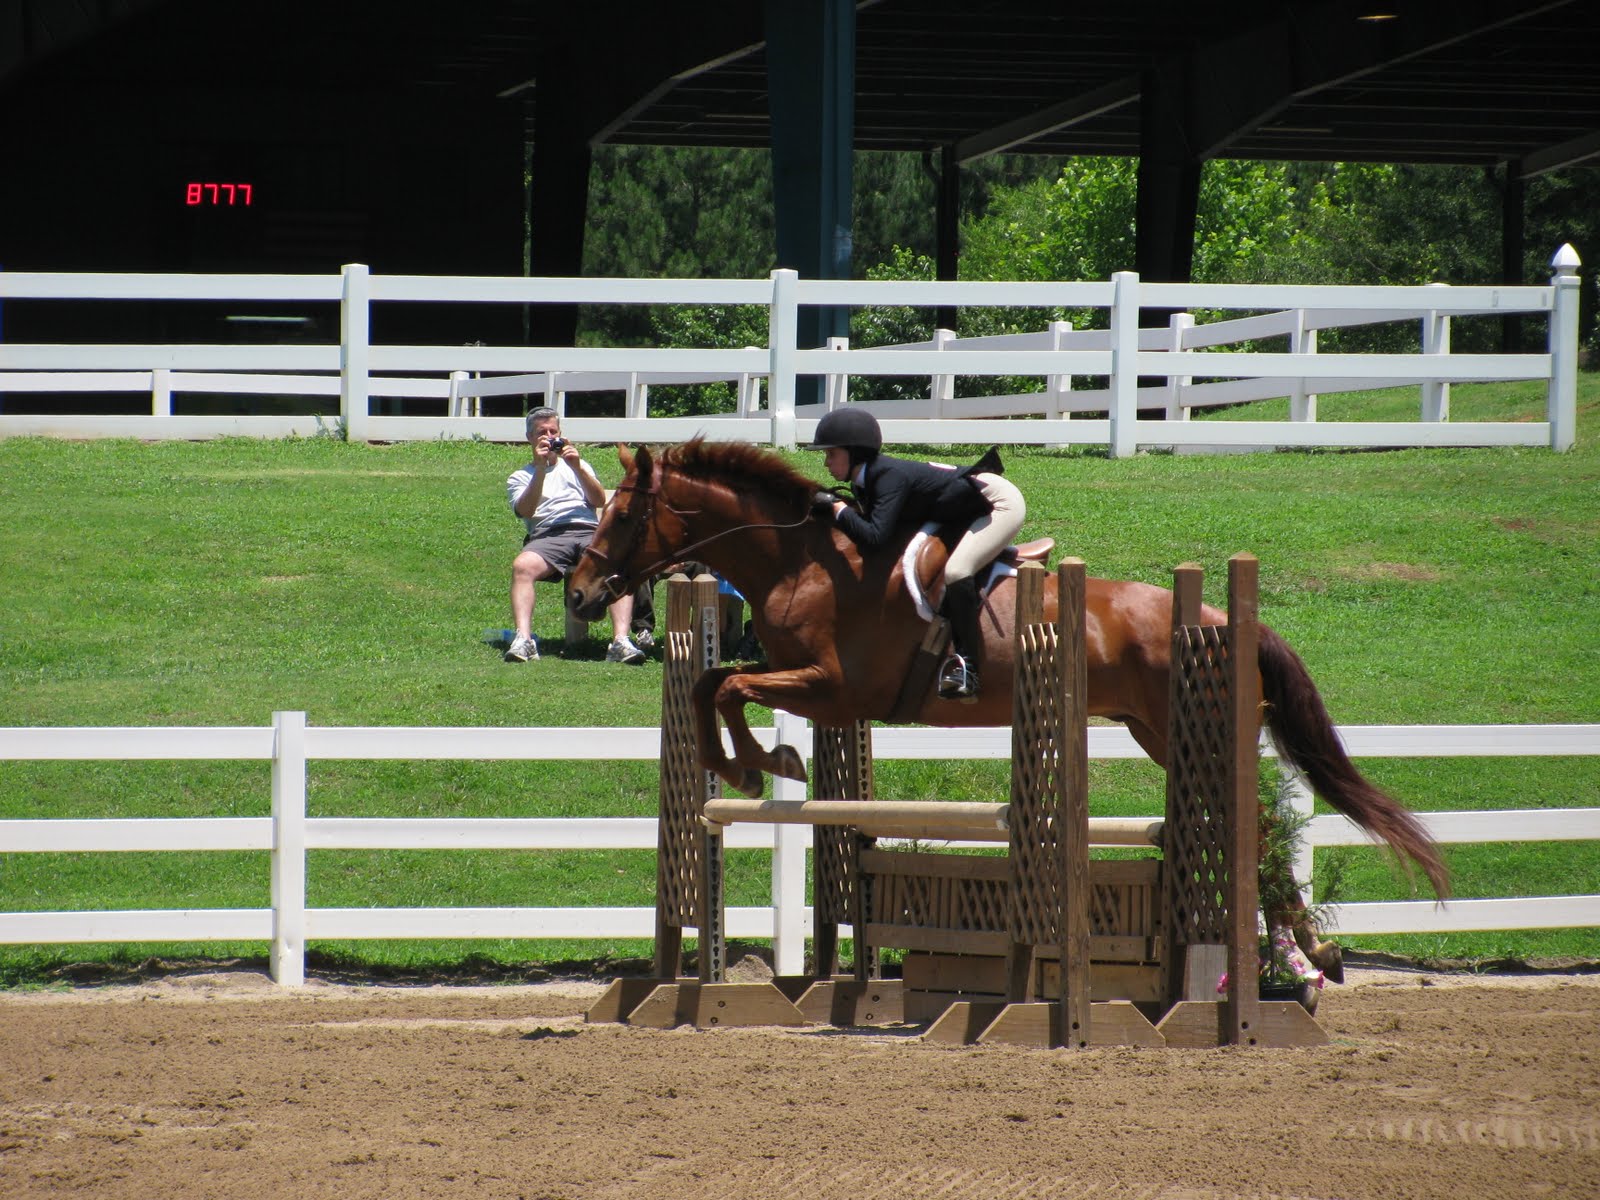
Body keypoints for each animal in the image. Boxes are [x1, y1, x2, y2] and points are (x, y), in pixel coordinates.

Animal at [567, 438, 1451, 978]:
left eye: (622, 514)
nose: (577, 593)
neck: (802, 560)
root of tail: (1217, 616)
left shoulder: (835, 688)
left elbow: (727, 688)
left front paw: (757, 766)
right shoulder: (808, 683)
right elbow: (708, 685)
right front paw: (749, 768)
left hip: (1182, 726)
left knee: (1256, 823)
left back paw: (1309, 954)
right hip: (1155, 730)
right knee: (1252, 823)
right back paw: (1302, 955)